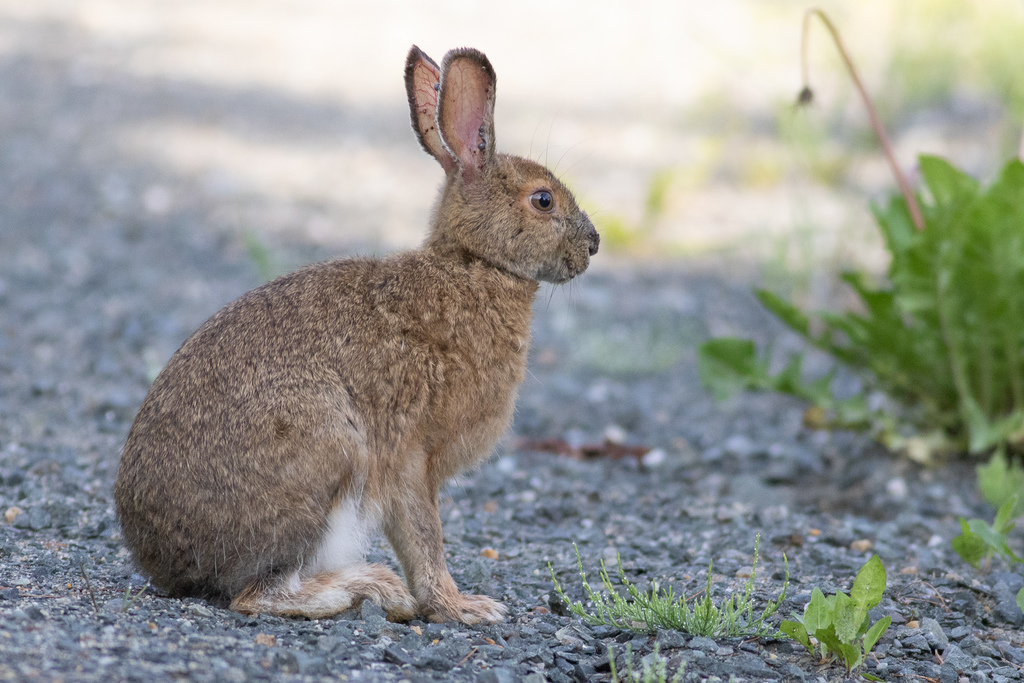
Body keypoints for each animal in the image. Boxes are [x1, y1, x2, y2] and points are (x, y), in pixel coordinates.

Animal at [114, 45, 599, 625]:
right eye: (543, 201)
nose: (594, 244)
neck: (472, 263)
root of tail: (166, 560)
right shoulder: (411, 458)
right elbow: (423, 538)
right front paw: (464, 608)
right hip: (327, 454)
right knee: (257, 594)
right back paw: (373, 588)